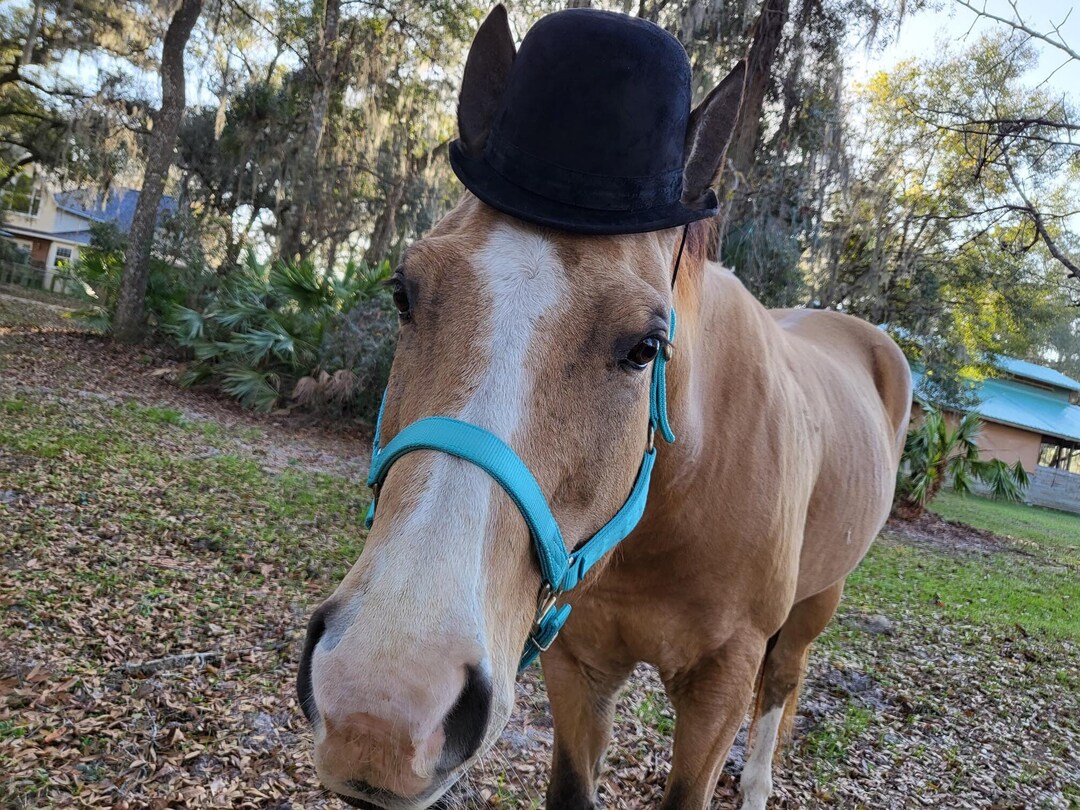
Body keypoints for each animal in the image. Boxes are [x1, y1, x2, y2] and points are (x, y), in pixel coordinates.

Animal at [296, 8, 912, 810]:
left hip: (817, 603)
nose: (381, 709)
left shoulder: (719, 685)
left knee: (784, 682)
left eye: (645, 348)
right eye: (404, 292)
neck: (674, 505)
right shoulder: (577, 665)